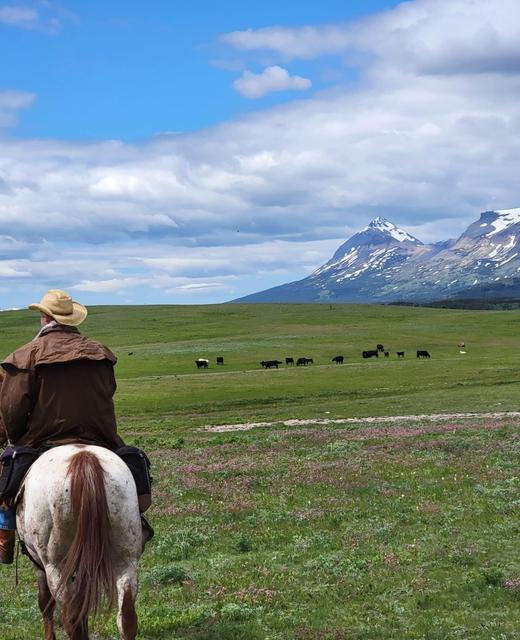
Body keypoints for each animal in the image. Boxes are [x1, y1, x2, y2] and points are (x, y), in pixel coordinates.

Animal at [16, 444, 144, 640]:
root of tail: (84, 459)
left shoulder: (39, 564)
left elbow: (45, 603)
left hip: (56, 567)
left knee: (71, 617)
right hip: (125, 560)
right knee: (126, 616)